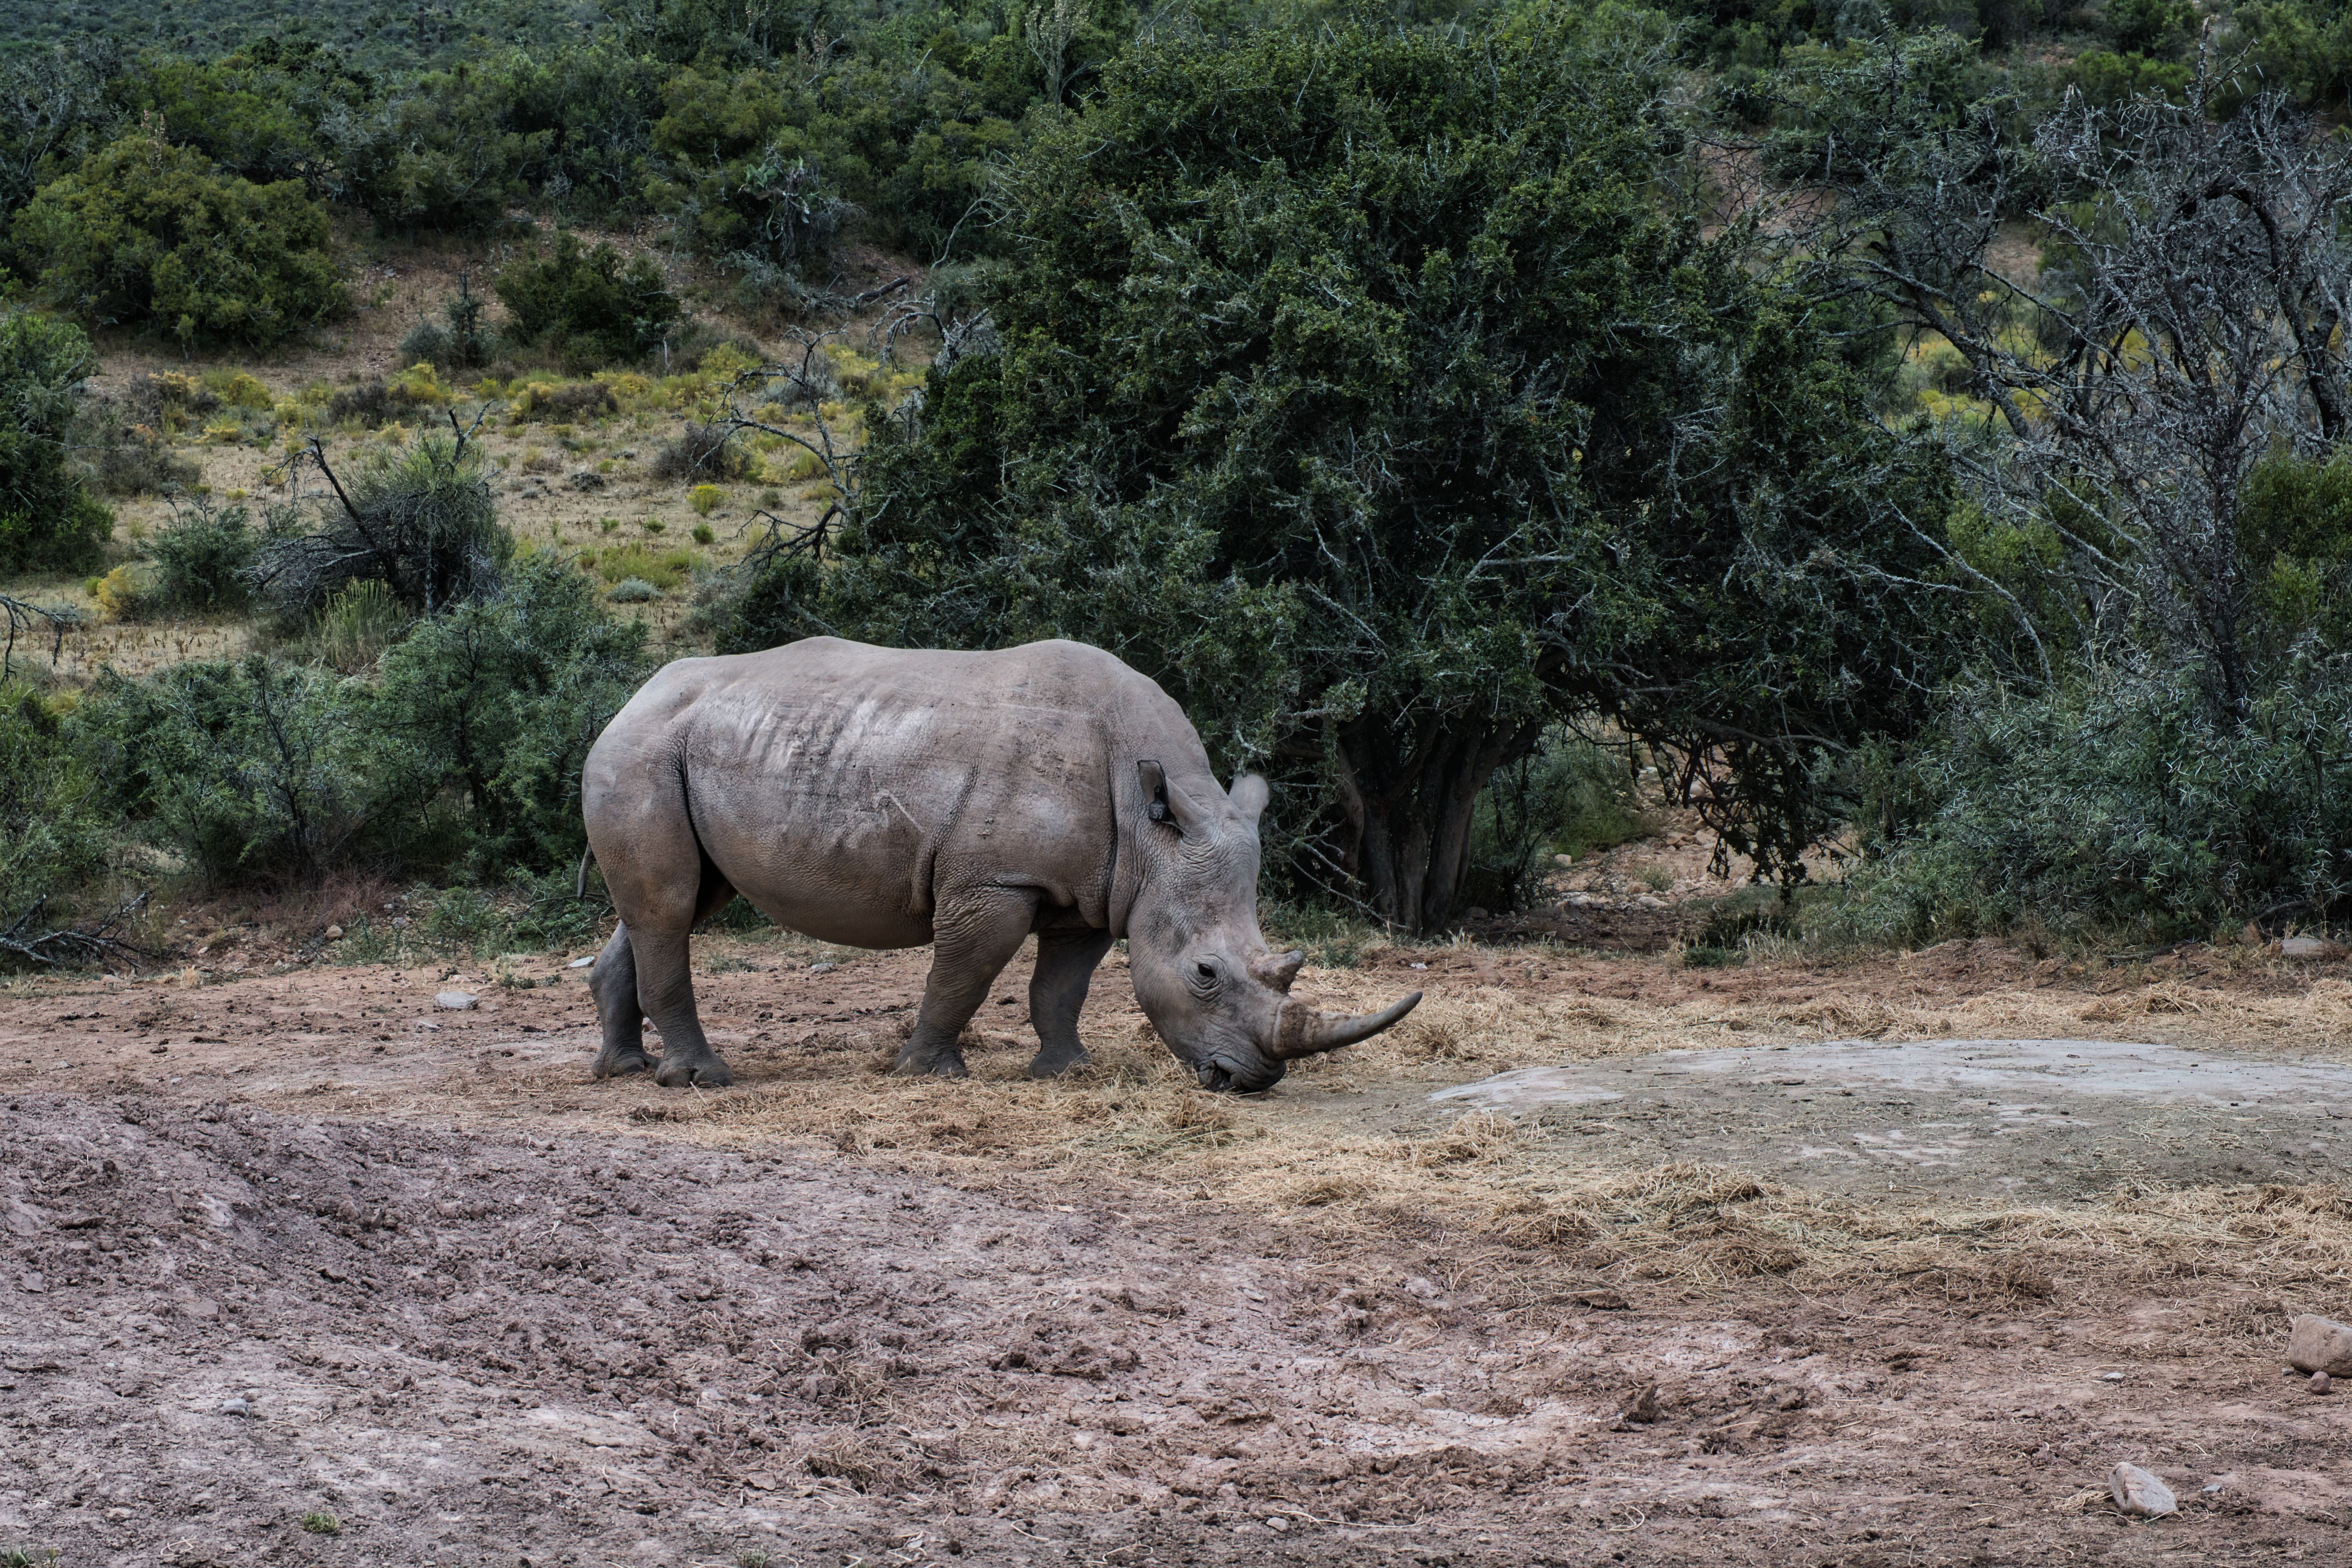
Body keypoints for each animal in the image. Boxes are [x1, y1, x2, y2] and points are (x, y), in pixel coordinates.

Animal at [578, 637, 1421, 1092]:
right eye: (1206, 974)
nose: (1253, 1078)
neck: (1153, 824)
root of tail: (632, 696)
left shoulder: (1101, 888)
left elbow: (1061, 986)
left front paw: (1066, 1070)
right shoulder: (995, 881)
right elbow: (963, 976)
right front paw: (927, 1074)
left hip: (678, 748)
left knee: (676, 901)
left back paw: (623, 1068)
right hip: (642, 752)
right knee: (670, 906)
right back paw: (701, 1080)